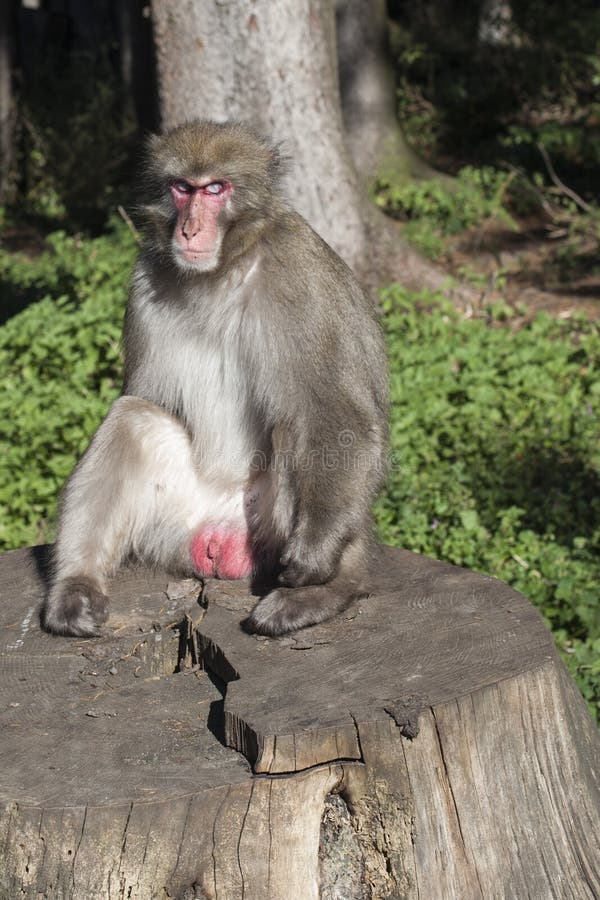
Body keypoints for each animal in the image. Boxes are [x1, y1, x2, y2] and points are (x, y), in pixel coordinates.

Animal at [42, 120, 388, 639]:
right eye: (182, 188)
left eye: (215, 189)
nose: (189, 227)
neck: (221, 272)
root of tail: (220, 532)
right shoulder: (143, 280)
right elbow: (143, 397)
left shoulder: (297, 275)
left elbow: (335, 415)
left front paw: (316, 557)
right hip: (174, 525)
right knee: (133, 417)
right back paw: (77, 587)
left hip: (265, 527)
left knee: (295, 428)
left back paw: (326, 592)